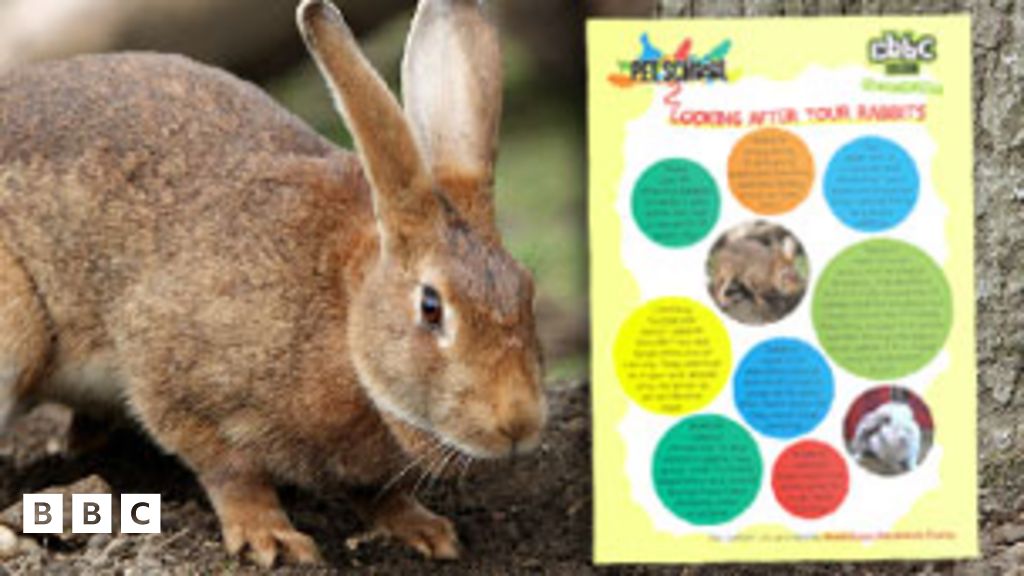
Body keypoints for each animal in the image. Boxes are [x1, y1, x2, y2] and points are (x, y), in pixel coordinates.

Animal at [0, 0, 546, 567]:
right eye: (432, 306)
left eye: (527, 291)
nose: (519, 424)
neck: (345, 312)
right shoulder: (174, 373)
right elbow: (231, 471)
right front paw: (273, 539)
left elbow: (378, 494)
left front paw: (424, 530)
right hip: (16, 336)